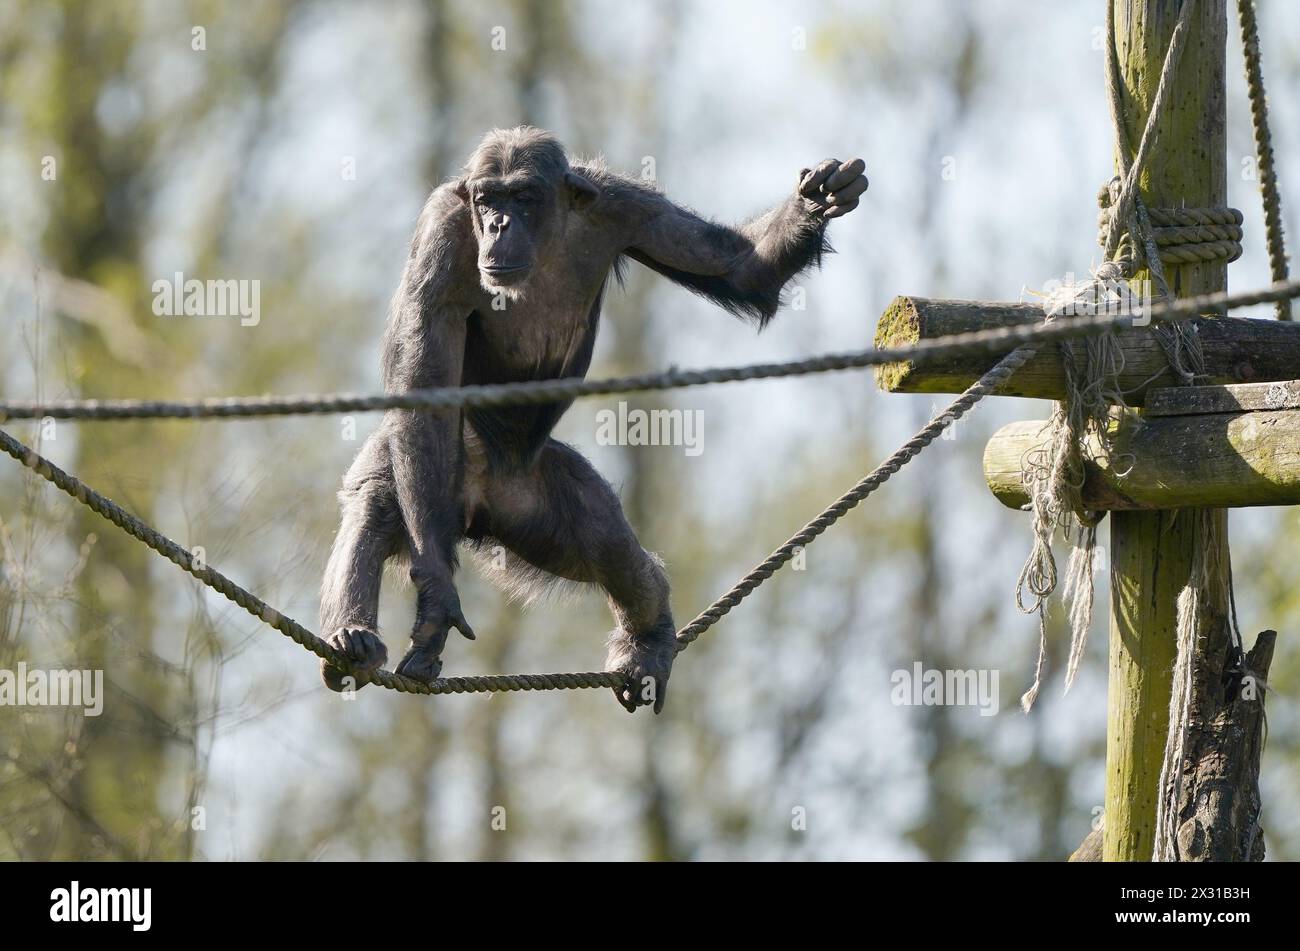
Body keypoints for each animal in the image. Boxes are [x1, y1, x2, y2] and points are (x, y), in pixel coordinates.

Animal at [319, 126, 868, 713]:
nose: (498, 223)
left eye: (522, 197)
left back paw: (648, 641)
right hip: (434, 483)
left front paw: (819, 197)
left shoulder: (629, 206)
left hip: (543, 504)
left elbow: (734, 264)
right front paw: (438, 600)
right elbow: (423, 387)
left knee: (610, 545)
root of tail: (479, 513)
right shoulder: (441, 232)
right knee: (380, 498)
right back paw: (352, 641)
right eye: (487, 199)